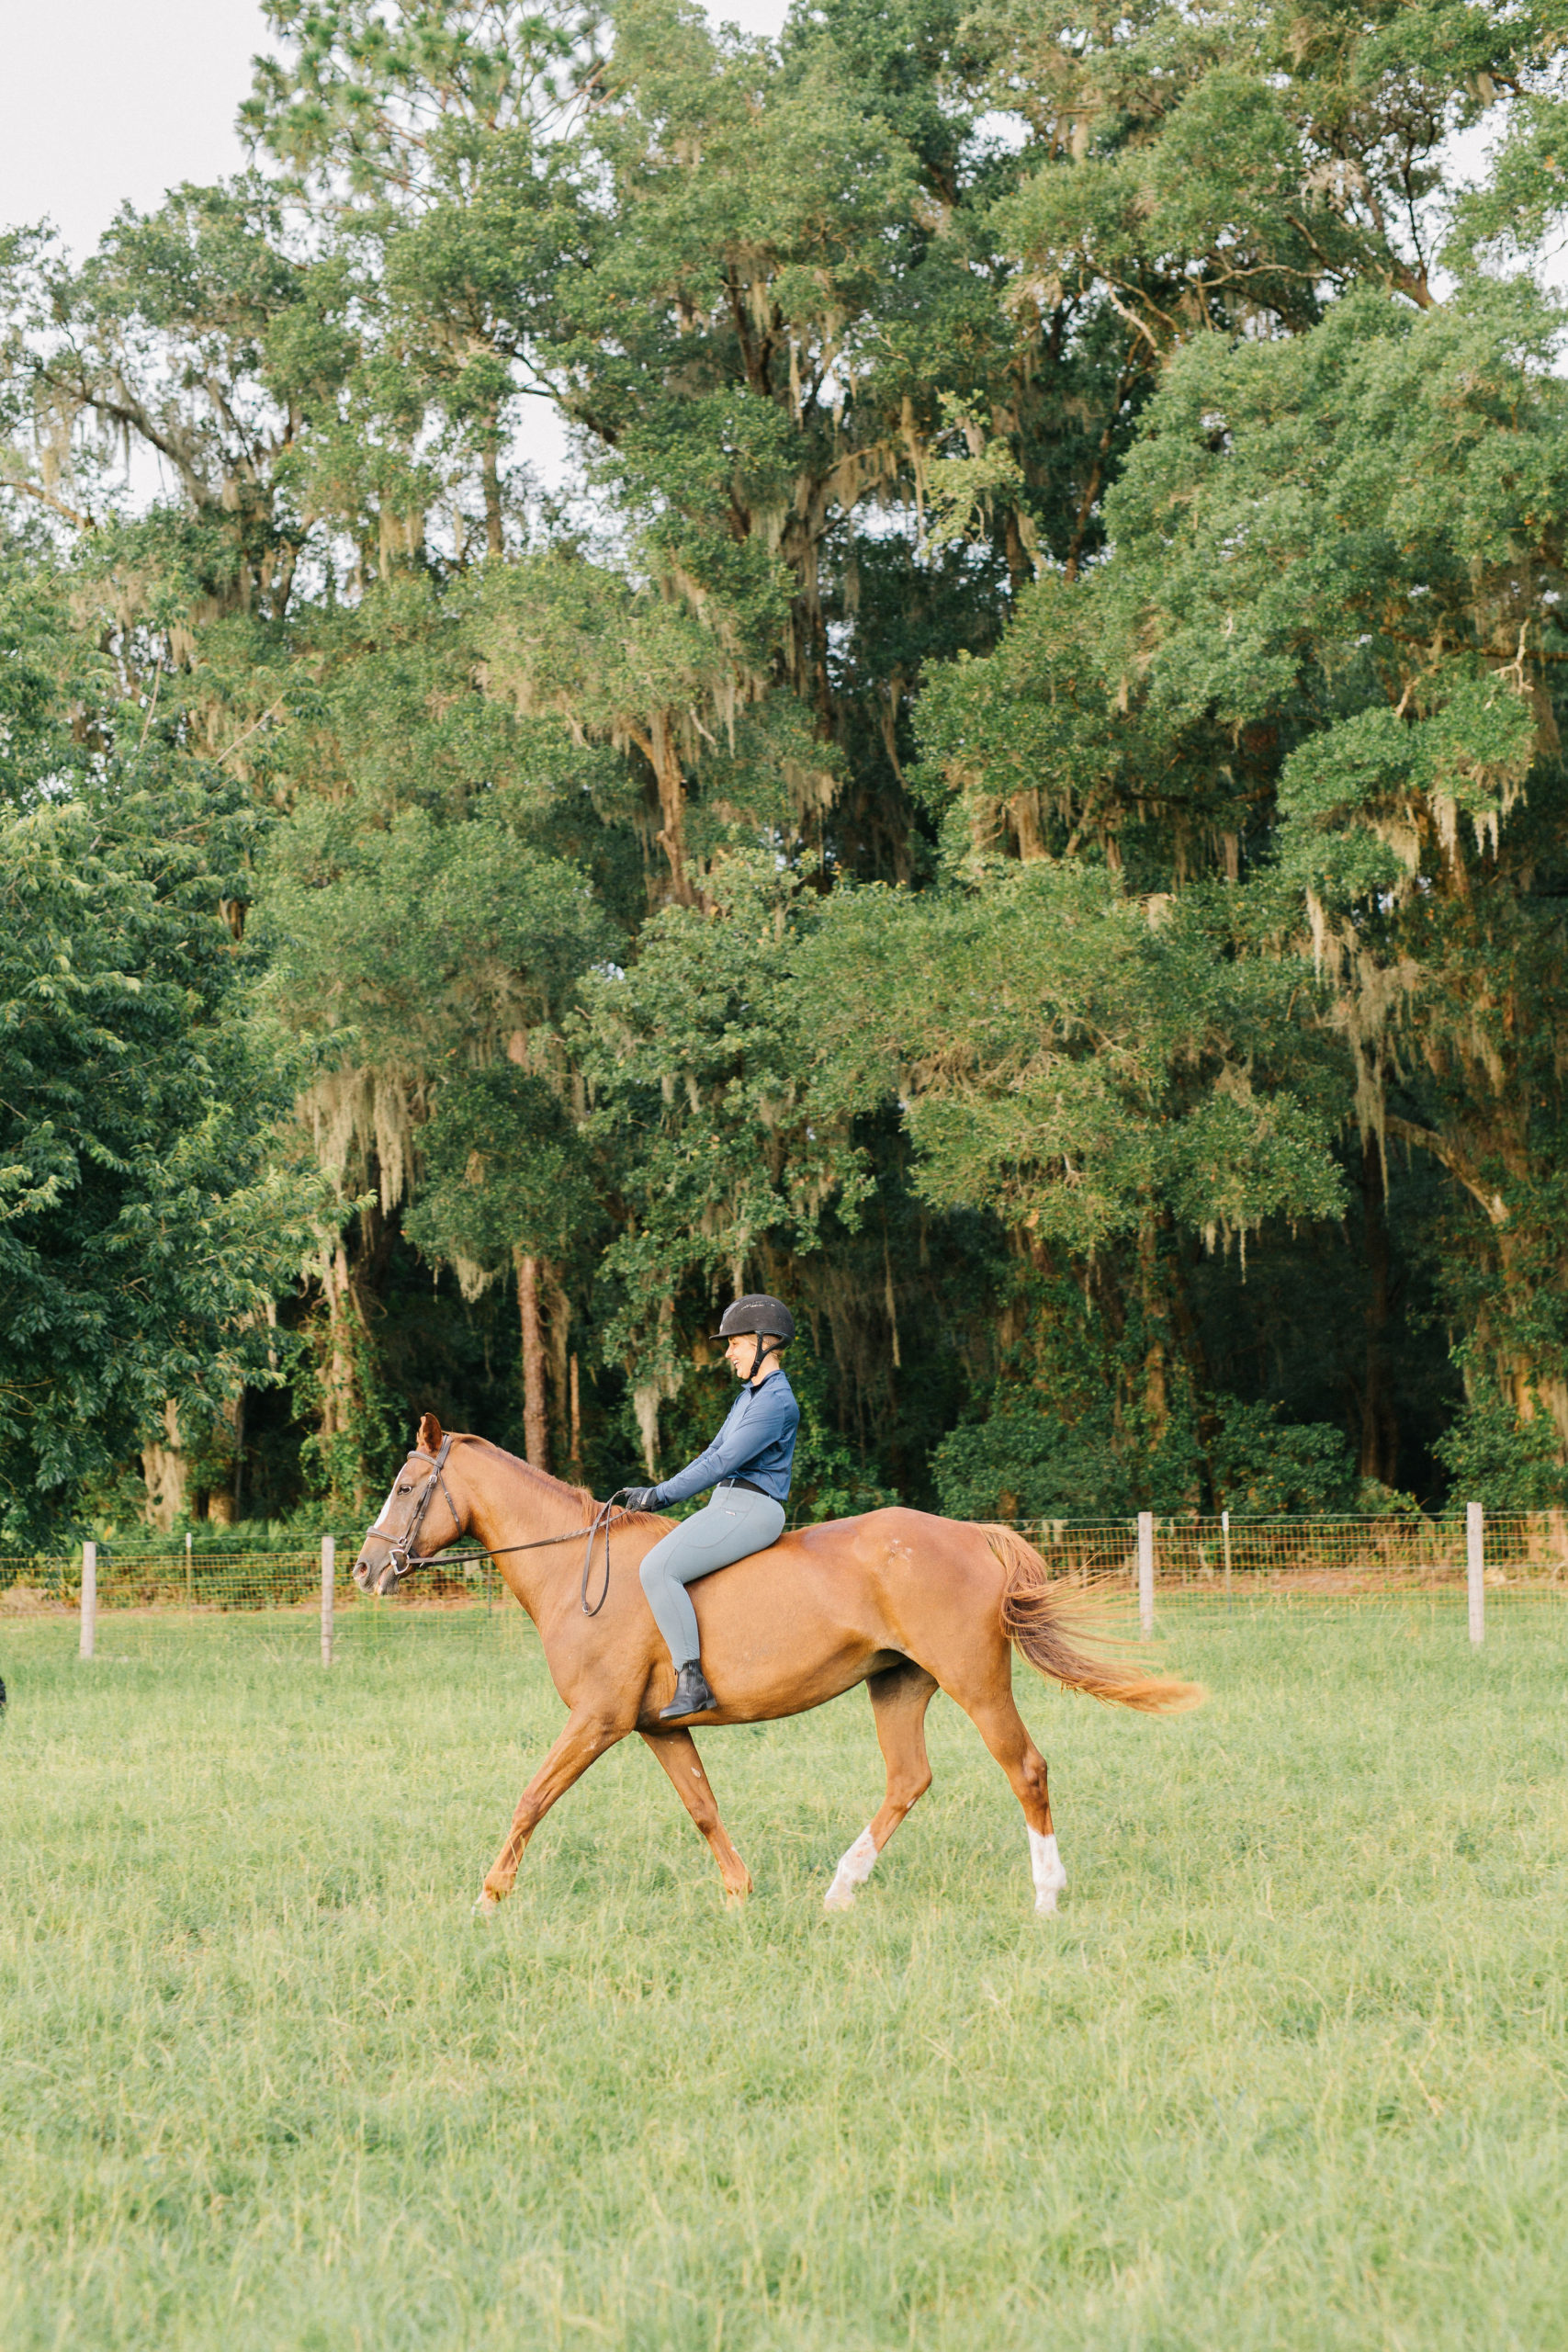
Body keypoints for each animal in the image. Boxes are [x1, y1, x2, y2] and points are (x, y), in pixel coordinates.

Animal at [352, 1415, 1204, 1916]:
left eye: (404, 1485)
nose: (365, 1570)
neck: (577, 1571)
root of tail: (969, 1533)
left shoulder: (596, 1719)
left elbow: (531, 1798)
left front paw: (488, 1898)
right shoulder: (656, 1728)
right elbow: (701, 1806)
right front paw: (739, 1894)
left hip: (974, 1680)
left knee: (1023, 1767)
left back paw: (1045, 1896)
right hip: (898, 1683)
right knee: (907, 1780)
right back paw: (839, 1890)